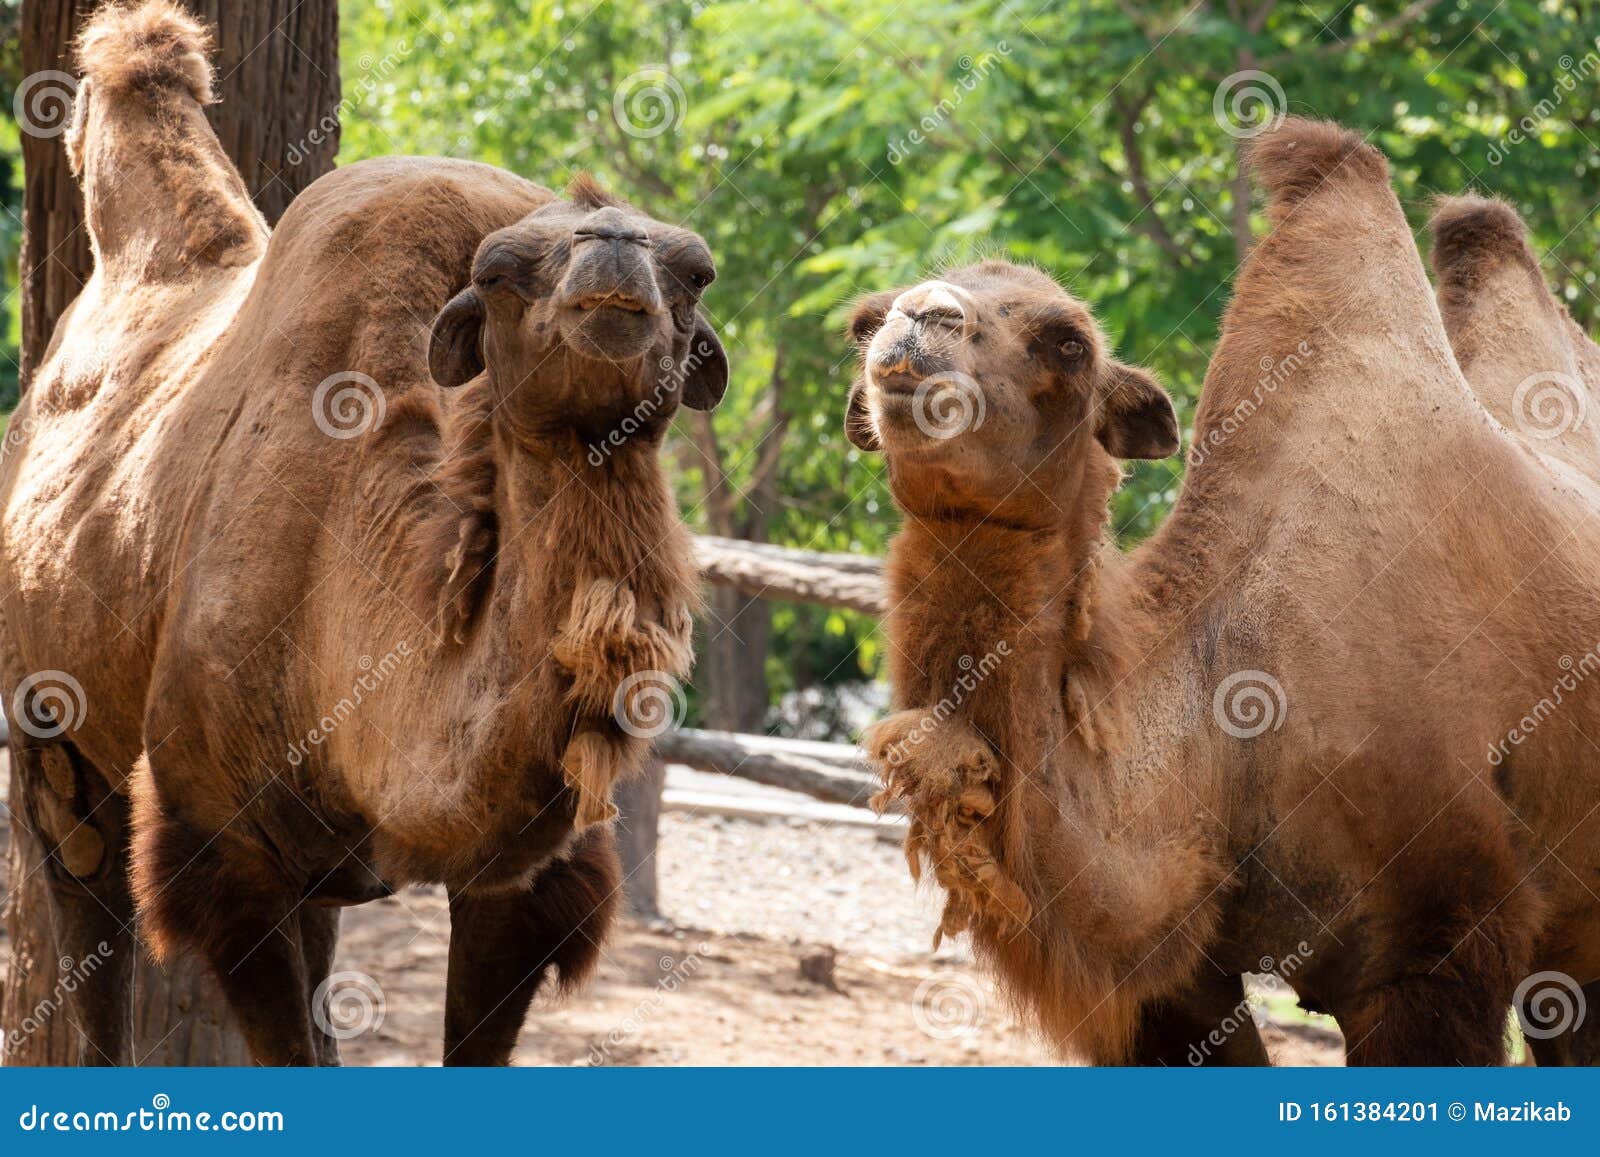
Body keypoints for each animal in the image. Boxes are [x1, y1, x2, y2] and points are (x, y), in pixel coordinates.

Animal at [0, 1, 725, 1065]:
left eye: (695, 271)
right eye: (499, 273)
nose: (616, 251)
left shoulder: (531, 880)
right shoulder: (224, 851)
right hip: (49, 720)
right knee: (84, 892)